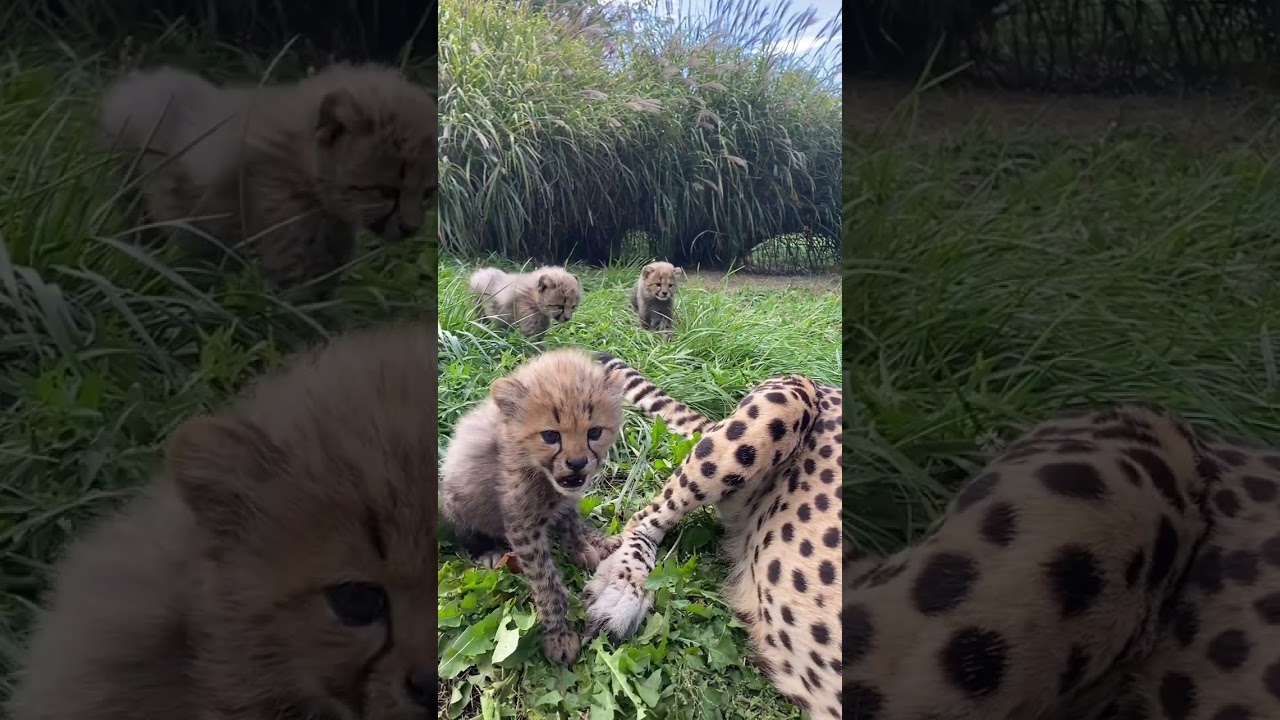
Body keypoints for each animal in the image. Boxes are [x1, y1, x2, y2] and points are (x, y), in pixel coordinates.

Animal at [439, 347, 623, 665]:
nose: (577, 463)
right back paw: (487, 552)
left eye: (595, 432)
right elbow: (546, 581)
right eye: (550, 435)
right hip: (453, 502)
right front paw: (558, 635)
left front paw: (581, 547)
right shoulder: (523, 527)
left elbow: (571, 518)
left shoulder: (566, 497)